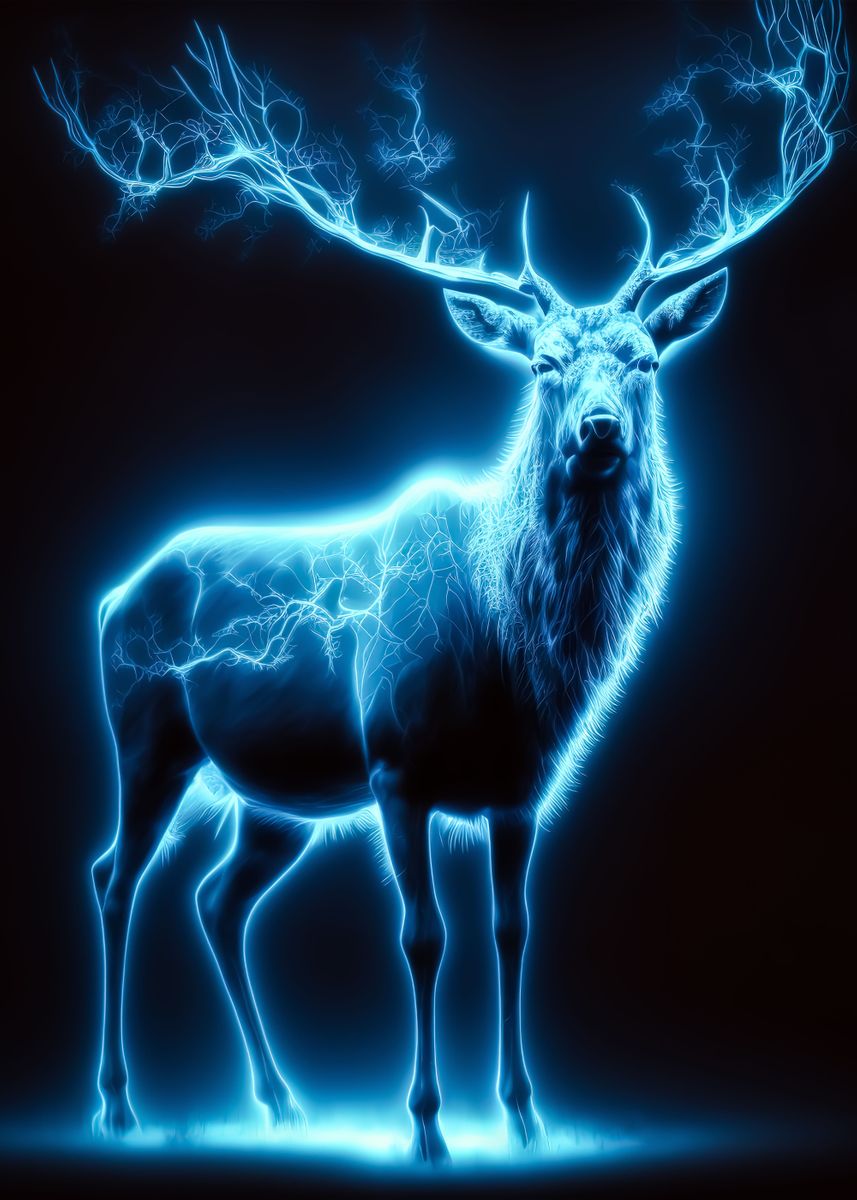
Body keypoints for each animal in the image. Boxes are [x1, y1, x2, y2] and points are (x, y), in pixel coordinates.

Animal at [38, 0, 847, 1164]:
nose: (598, 430)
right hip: (148, 729)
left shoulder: (520, 787)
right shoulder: (395, 761)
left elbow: (512, 932)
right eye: (544, 363)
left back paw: (279, 1098)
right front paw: (424, 1124)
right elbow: (423, 937)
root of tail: (111, 591)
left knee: (218, 900)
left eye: (645, 360)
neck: (514, 655)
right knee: (115, 875)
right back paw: (116, 1103)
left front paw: (523, 1114)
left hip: (277, 798)